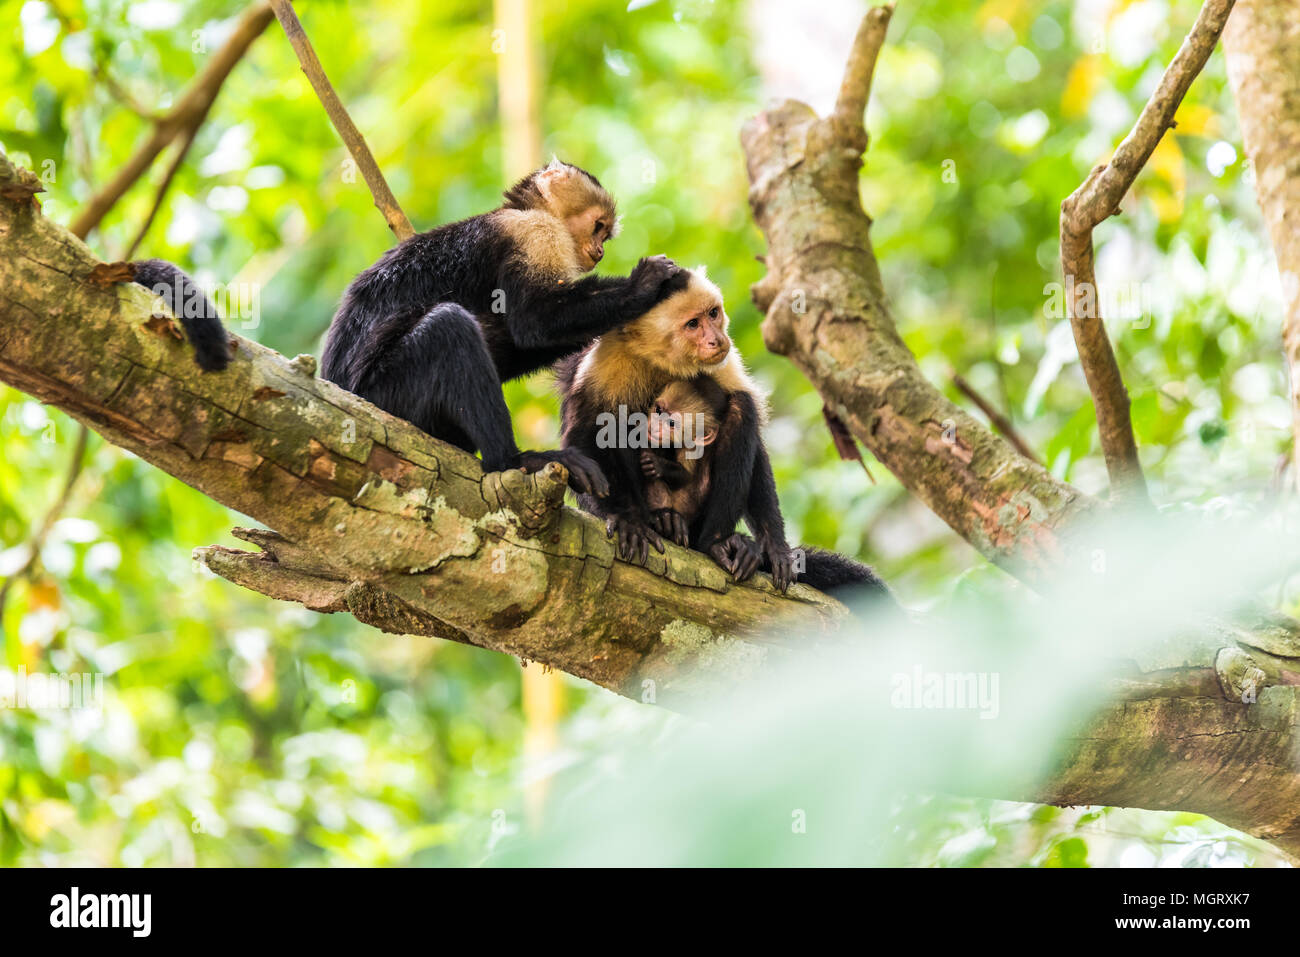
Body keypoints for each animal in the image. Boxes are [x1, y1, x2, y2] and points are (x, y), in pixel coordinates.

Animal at [319, 159, 688, 497]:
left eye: (604, 235)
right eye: (598, 227)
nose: (599, 251)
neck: (522, 210)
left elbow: (525, 338)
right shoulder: (536, 233)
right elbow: (534, 320)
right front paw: (644, 286)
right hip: (382, 397)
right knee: (448, 327)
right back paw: (515, 461)